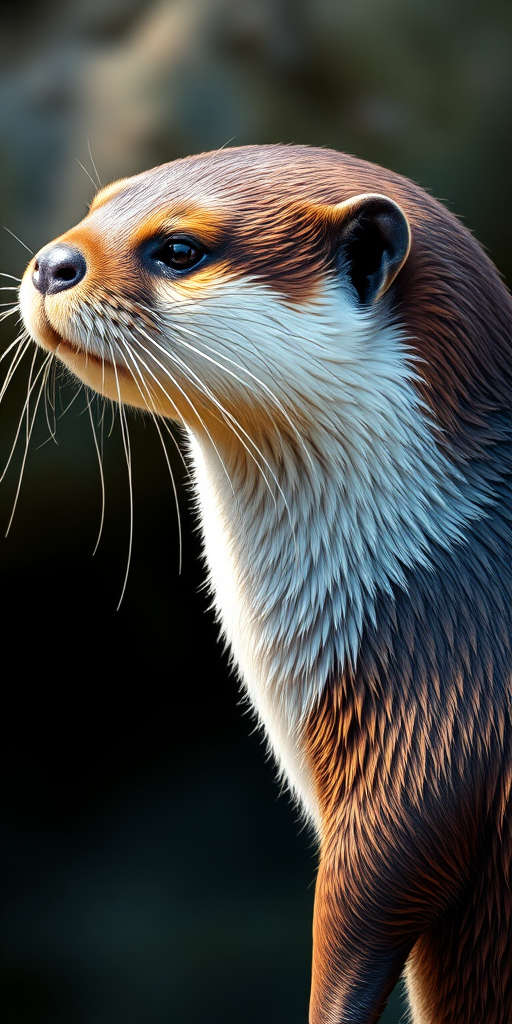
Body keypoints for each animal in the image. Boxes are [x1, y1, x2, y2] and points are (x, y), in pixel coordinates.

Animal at [17, 146, 512, 1024]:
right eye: (98, 204)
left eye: (179, 249)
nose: (52, 262)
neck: (426, 574)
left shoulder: (441, 718)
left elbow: (371, 900)